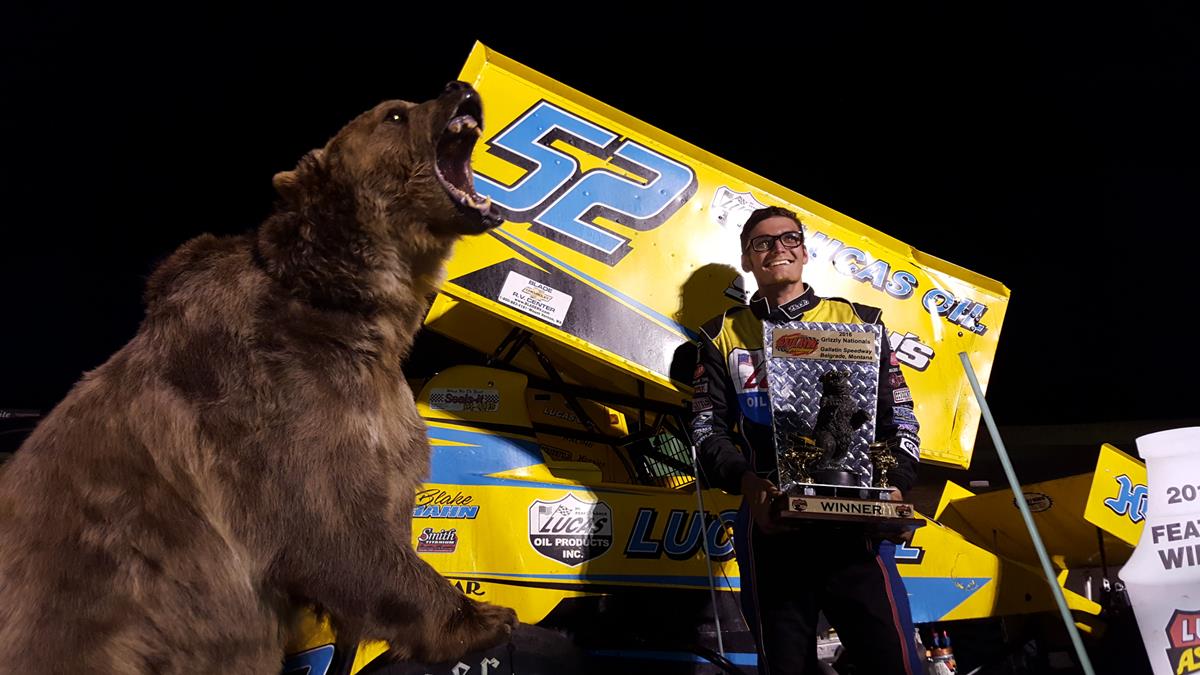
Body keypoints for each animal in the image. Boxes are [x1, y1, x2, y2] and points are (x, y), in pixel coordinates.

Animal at [0, 81, 517, 673]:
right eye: (394, 114)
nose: (461, 87)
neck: (351, 308)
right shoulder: (274, 406)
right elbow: (334, 528)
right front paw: (486, 617)